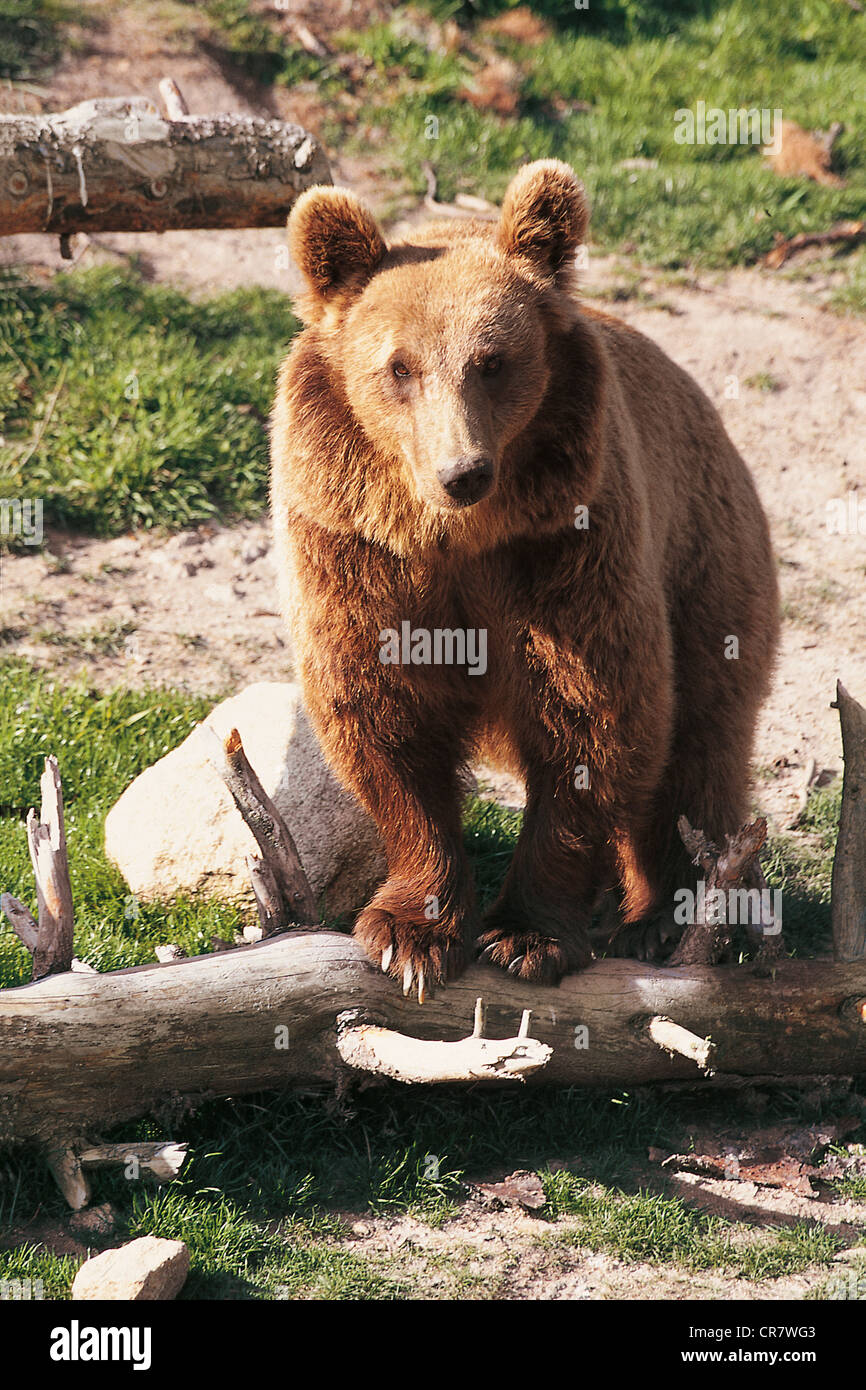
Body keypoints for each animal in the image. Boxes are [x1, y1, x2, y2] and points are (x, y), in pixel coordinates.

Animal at [270, 159, 780, 1002]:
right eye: (399, 366)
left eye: (493, 360)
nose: (462, 471)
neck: (460, 539)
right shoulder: (361, 558)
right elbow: (385, 720)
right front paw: (411, 934)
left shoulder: (566, 554)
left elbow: (593, 717)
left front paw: (526, 935)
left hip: (706, 563)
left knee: (701, 741)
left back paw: (666, 917)